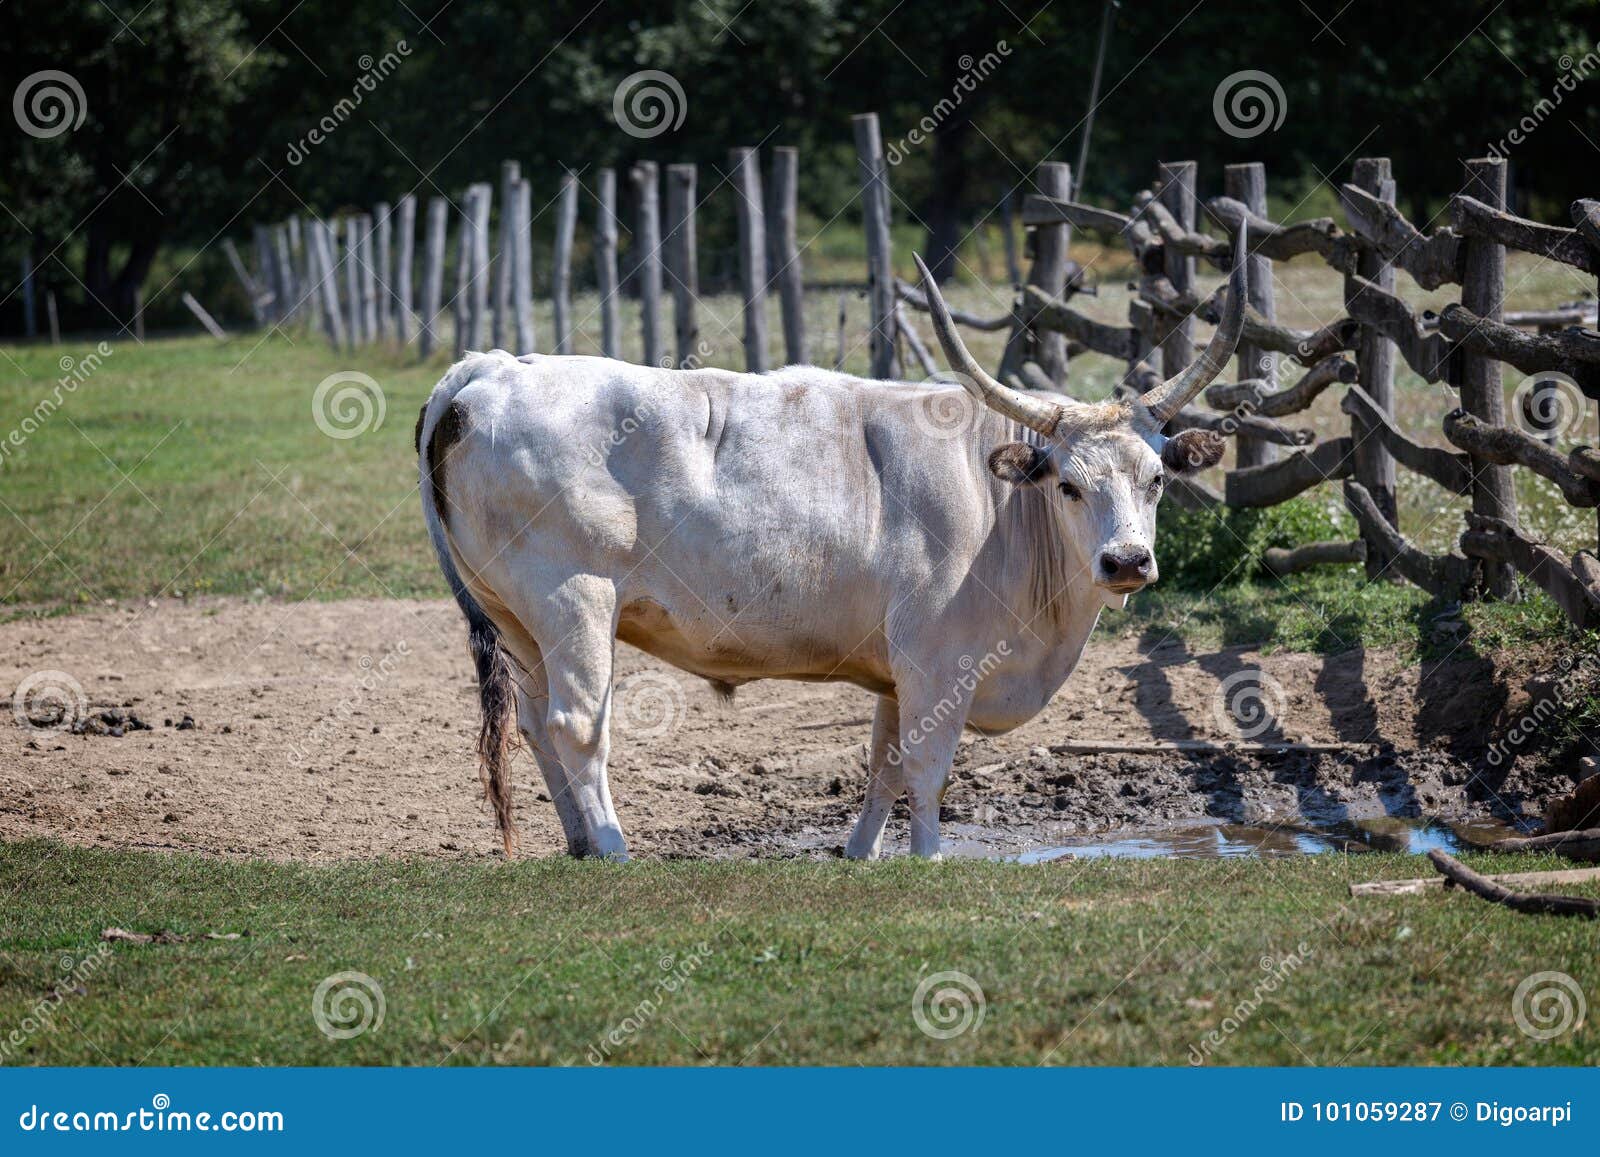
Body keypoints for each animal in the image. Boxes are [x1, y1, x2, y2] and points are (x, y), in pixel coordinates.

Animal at [416, 227, 1247, 860]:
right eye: (1069, 485)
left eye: (1157, 479)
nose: (1126, 561)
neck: (1002, 505)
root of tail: (492, 367)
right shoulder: (937, 661)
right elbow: (927, 770)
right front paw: (930, 860)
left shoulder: (894, 673)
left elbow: (883, 765)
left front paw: (859, 854)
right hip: (575, 601)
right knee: (577, 725)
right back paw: (616, 850)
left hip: (518, 619)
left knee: (534, 724)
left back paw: (581, 847)